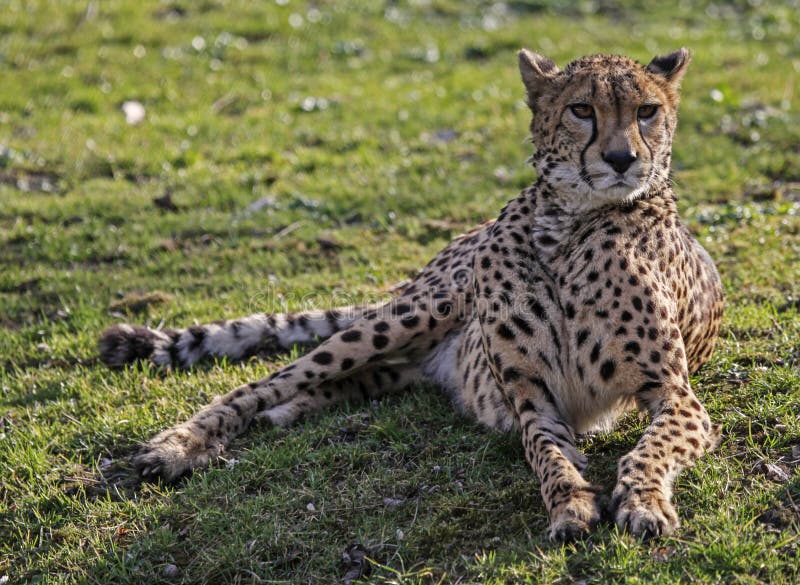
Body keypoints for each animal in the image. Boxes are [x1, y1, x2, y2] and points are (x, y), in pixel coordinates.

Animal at [100, 48, 724, 541]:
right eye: (582, 110)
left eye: (647, 111)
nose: (622, 159)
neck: (568, 228)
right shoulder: (531, 396)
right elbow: (548, 456)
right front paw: (571, 504)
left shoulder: (674, 392)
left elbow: (650, 449)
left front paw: (643, 501)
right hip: (407, 316)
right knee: (264, 382)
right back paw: (177, 445)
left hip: (406, 362)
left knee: (334, 384)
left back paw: (285, 414)